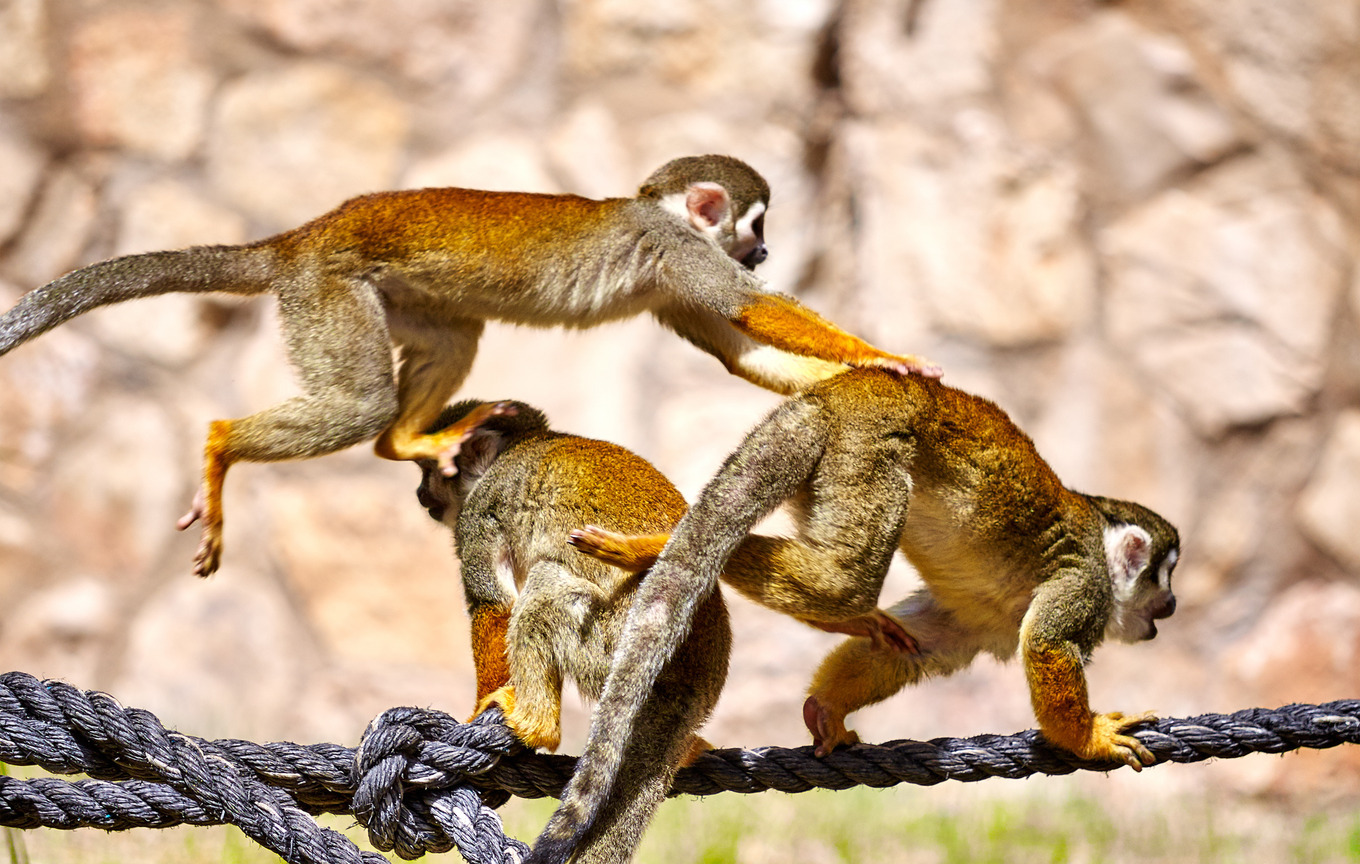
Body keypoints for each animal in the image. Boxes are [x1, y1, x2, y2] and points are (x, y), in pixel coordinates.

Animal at [0, 155, 939, 578]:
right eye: (755, 225)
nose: (767, 248)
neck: (662, 213)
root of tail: (299, 237)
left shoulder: (674, 274)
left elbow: (739, 347)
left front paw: (841, 377)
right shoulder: (678, 249)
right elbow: (747, 311)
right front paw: (882, 356)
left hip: (397, 292)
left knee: (446, 345)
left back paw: (405, 439)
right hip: (326, 289)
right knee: (356, 400)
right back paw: (226, 443)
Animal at [414, 399, 730, 864]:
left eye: (426, 470)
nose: (420, 494)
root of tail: (692, 686)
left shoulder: (481, 509)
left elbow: (494, 603)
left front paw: (477, 709)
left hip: (610, 645)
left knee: (545, 585)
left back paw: (536, 723)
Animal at [551, 367, 1178, 859]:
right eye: (1162, 577)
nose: (1170, 607)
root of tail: (850, 387)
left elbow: (920, 648)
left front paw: (828, 706)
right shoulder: (1086, 583)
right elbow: (1048, 643)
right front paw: (1088, 738)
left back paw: (657, 551)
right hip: (870, 449)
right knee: (843, 580)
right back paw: (658, 549)